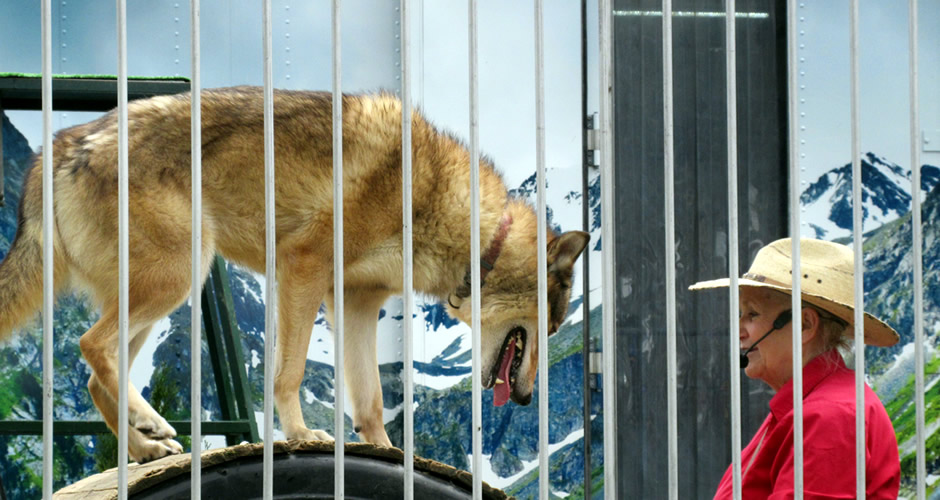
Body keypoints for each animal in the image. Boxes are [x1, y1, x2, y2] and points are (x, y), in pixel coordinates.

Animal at [0, 86, 589, 463]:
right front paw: (303, 434)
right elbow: (290, 373)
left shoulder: (355, 302)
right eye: (552, 329)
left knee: (96, 378)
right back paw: (153, 425)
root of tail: (58, 147)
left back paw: (147, 446)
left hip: (162, 295)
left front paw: (386, 453)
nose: (527, 401)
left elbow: (370, 401)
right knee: (90, 346)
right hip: (179, 276)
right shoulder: (303, 270)